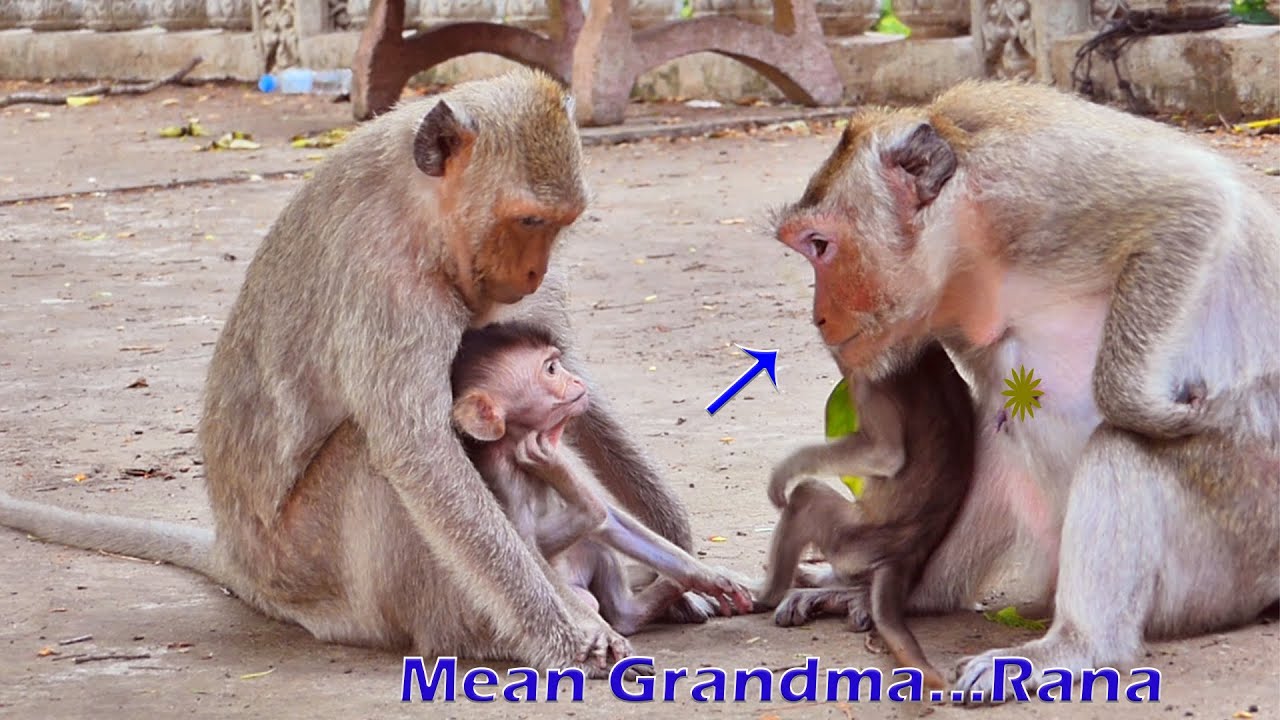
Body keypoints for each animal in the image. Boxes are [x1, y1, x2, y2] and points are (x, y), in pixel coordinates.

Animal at [0, 68, 716, 677]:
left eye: (559, 225)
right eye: (528, 220)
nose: (535, 271)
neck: (419, 204)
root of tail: (241, 561)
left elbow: (578, 394)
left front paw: (679, 557)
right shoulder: (387, 287)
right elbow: (419, 456)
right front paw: (567, 636)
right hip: (313, 570)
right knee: (373, 459)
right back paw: (477, 636)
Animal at [449, 322, 755, 636]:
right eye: (551, 369)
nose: (575, 380)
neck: (514, 443)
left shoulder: (554, 446)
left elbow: (611, 520)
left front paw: (708, 578)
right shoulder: (503, 477)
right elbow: (525, 547)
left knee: (598, 550)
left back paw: (644, 603)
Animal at [757, 341, 976, 691]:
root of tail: (903, 556)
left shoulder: (868, 381)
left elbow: (884, 456)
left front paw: (788, 467)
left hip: (852, 538)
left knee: (807, 498)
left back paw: (763, 596)